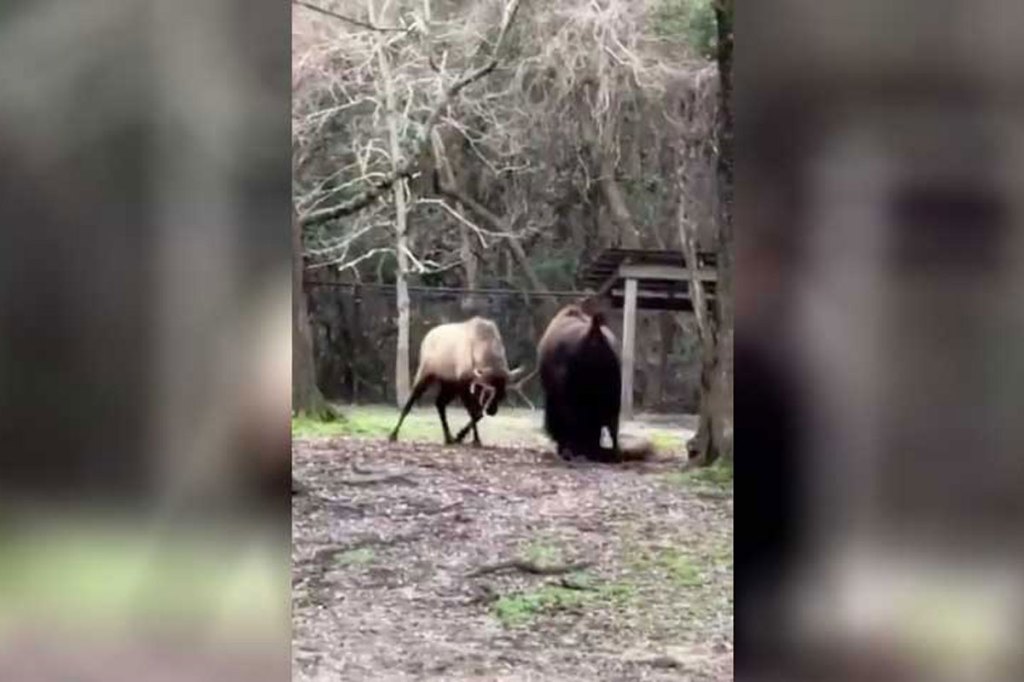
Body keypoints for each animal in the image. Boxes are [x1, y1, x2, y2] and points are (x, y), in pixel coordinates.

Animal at [389, 316, 525, 446]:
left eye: (503, 394)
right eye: (488, 391)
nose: (492, 411)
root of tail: (426, 338)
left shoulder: (469, 387)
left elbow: (477, 413)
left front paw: (466, 437)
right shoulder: (463, 385)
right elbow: (475, 412)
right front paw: (464, 437)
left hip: (448, 385)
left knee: (440, 403)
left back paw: (448, 437)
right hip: (425, 374)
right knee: (410, 402)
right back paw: (393, 434)